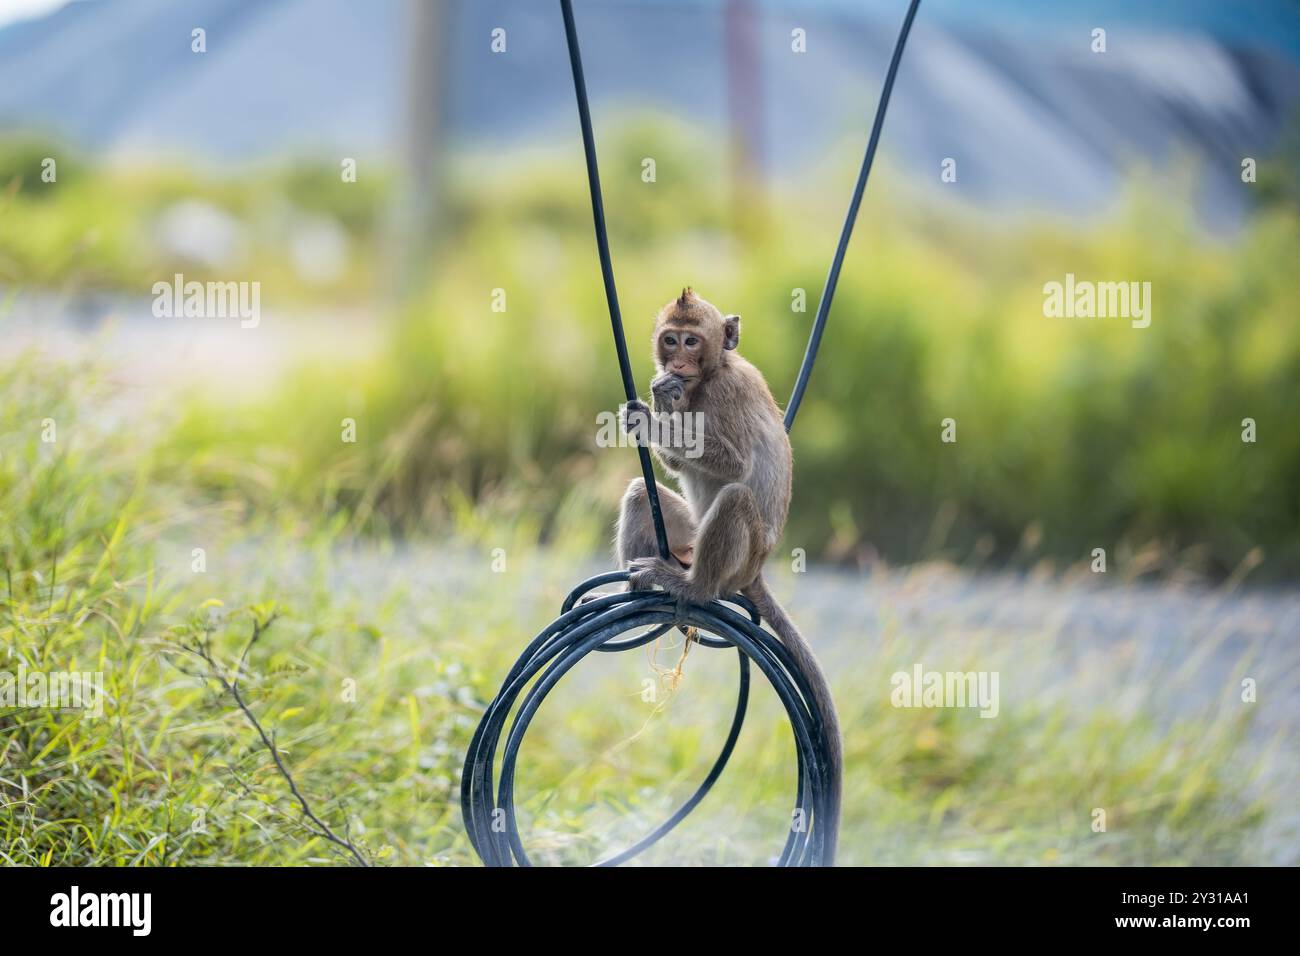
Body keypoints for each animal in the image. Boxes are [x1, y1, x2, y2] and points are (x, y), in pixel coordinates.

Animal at [614, 287, 843, 863]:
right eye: (671, 339)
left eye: (693, 341)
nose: (676, 362)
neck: (708, 377)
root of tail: (756, 568)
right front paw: (661, 399)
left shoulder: (728, 394)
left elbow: (732, 463)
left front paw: (654, 418)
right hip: (686, 537)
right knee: (640, 492)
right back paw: (640, 585)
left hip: (739, 555)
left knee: (737, 496)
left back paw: (691, 588)